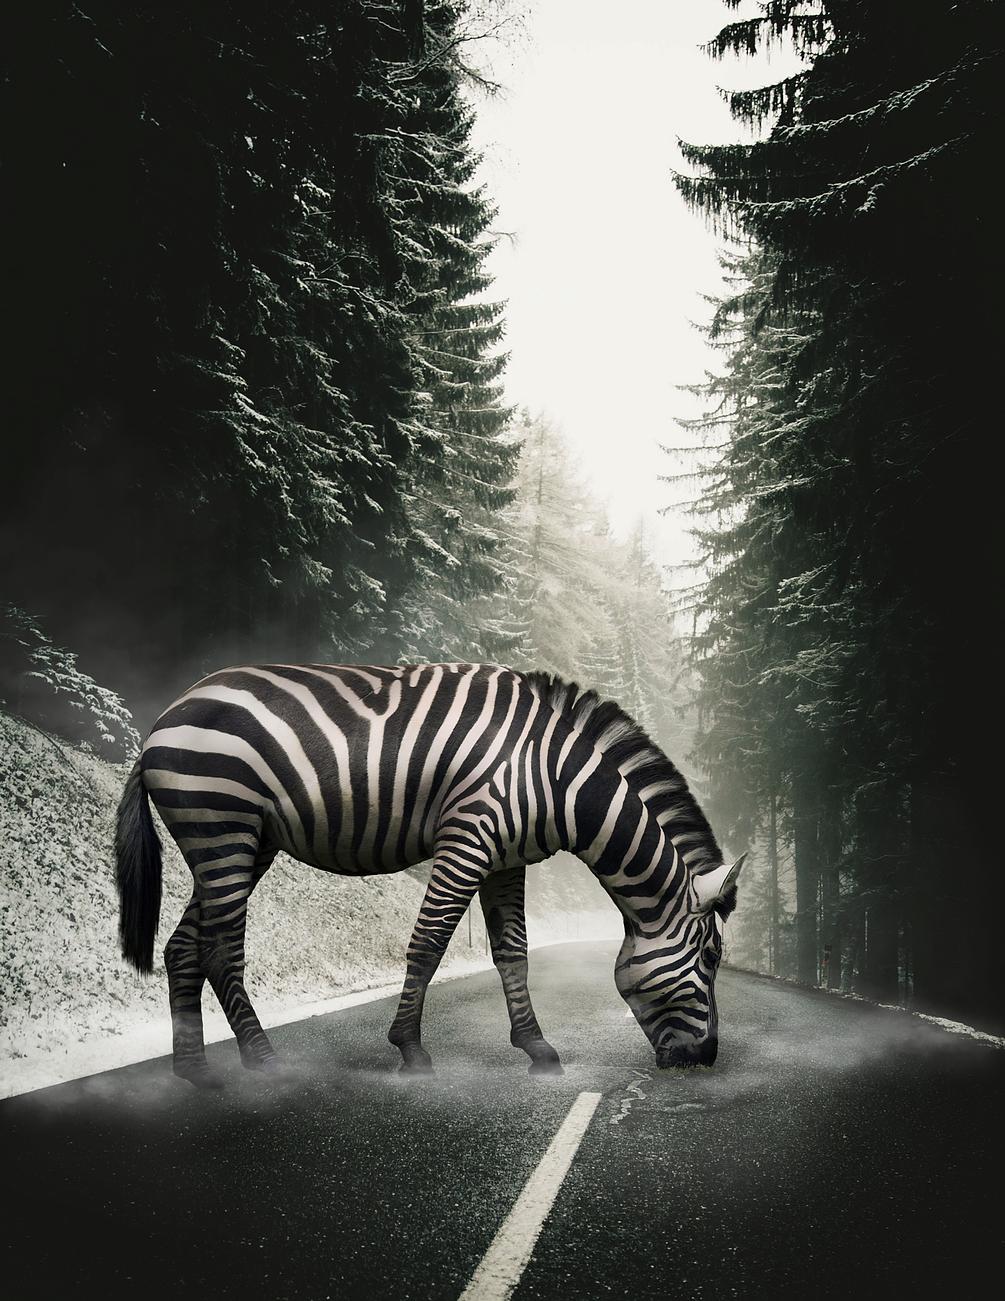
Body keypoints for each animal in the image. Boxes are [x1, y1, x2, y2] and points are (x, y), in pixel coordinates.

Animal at [115, 662, 744, 1088]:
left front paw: (536, 1047)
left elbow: (513, 950)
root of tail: (166, 716)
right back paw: (264, 1061)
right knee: (220, 949)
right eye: (711, 959)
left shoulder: (506, 859)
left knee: (183, 947)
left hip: (242, 843)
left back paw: (195, 1070)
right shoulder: (469, 835)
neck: (557, 777)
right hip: (223, 826)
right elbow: (430, 942)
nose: (706, 1059)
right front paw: (410, 1050)